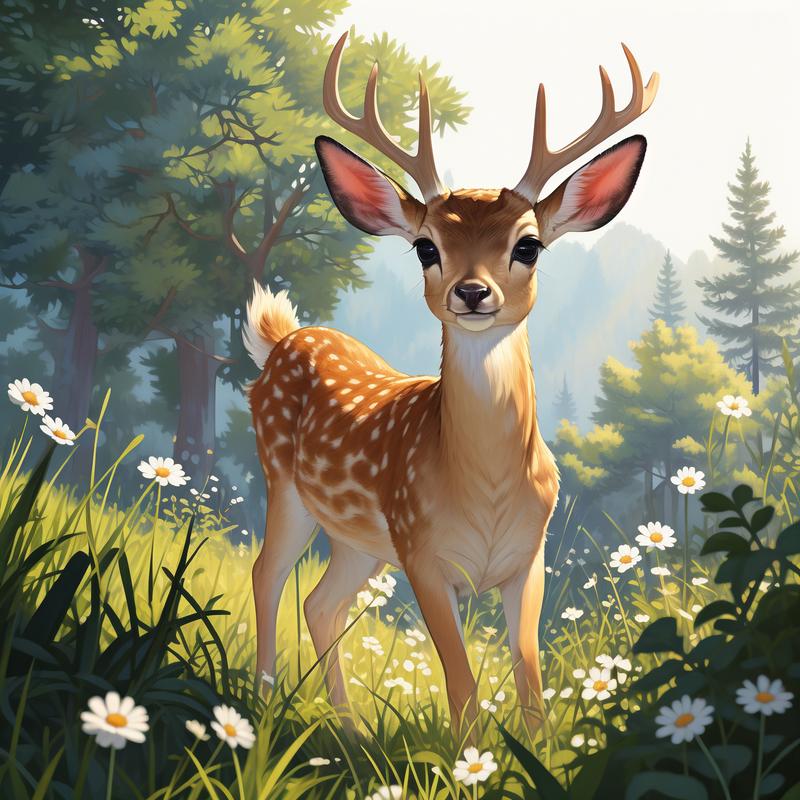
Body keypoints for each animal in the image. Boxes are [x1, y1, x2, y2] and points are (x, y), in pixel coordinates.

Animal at [245, 31, 658, 732]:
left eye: (529, 246)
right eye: (425, 247)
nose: (472, 292)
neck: (486, 496)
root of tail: (283, 338)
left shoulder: (530, 558)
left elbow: (529, 681)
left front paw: (533, 747)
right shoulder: (422, 553)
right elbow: (462, 686)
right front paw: (470, 751)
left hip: (358, 540)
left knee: (321, 603)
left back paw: (349, 727)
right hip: (285, 486)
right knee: (266, 575)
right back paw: (263, 703)